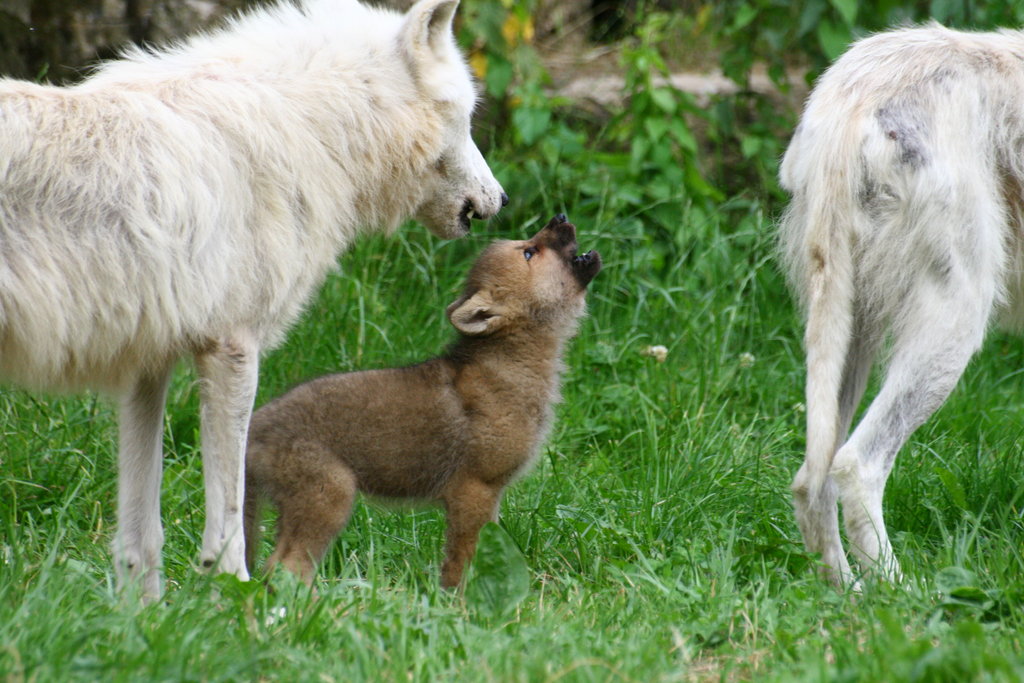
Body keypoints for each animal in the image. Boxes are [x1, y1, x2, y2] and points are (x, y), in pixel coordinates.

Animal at [0, 0, 506, 599]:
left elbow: (140, 533)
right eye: (468, 117)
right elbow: (228, 523)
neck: (309, 130)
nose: (500, 200)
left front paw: (144, 614)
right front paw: (234, 600)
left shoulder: (148, 366)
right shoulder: (233, 349)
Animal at [243, 215, 600, 588]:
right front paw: (459, 599)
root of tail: (255, 431)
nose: (560, 217)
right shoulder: (474, 490)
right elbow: (462, 559)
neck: (511, 362)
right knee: (285, 567)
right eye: (529, 252)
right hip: (330, 496)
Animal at [779, 23, 1024, 586]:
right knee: (857, 465)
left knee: (812, 480)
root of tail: (853, 99)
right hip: (954, 324)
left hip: (851, 329)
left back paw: (846, 591)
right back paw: (902, 592)